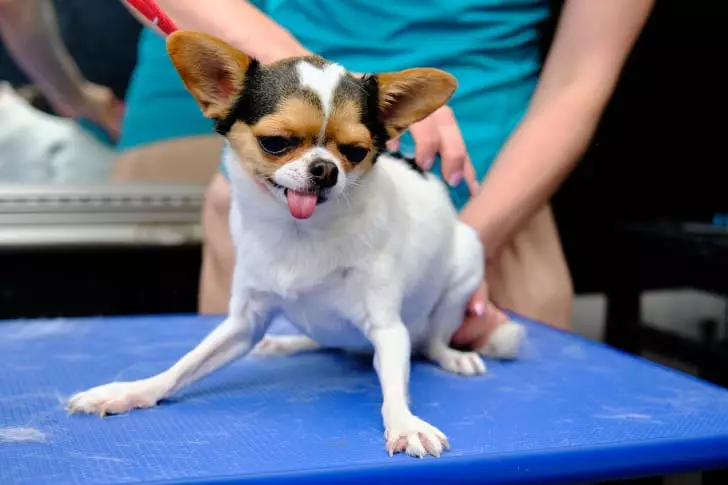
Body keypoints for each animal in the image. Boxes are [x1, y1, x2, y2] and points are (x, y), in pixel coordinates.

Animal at [68, 31, 524, 458]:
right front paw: (132, 391)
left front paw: (405, 424)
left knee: (430, 341)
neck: (300, 234)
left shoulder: (389, 329)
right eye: (275, 142)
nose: (325, 169)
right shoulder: (243, 322)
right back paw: (286, 343)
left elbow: (395, 385)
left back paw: (453, 356)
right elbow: (185, 365)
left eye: (356, 151)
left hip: (462, 276)